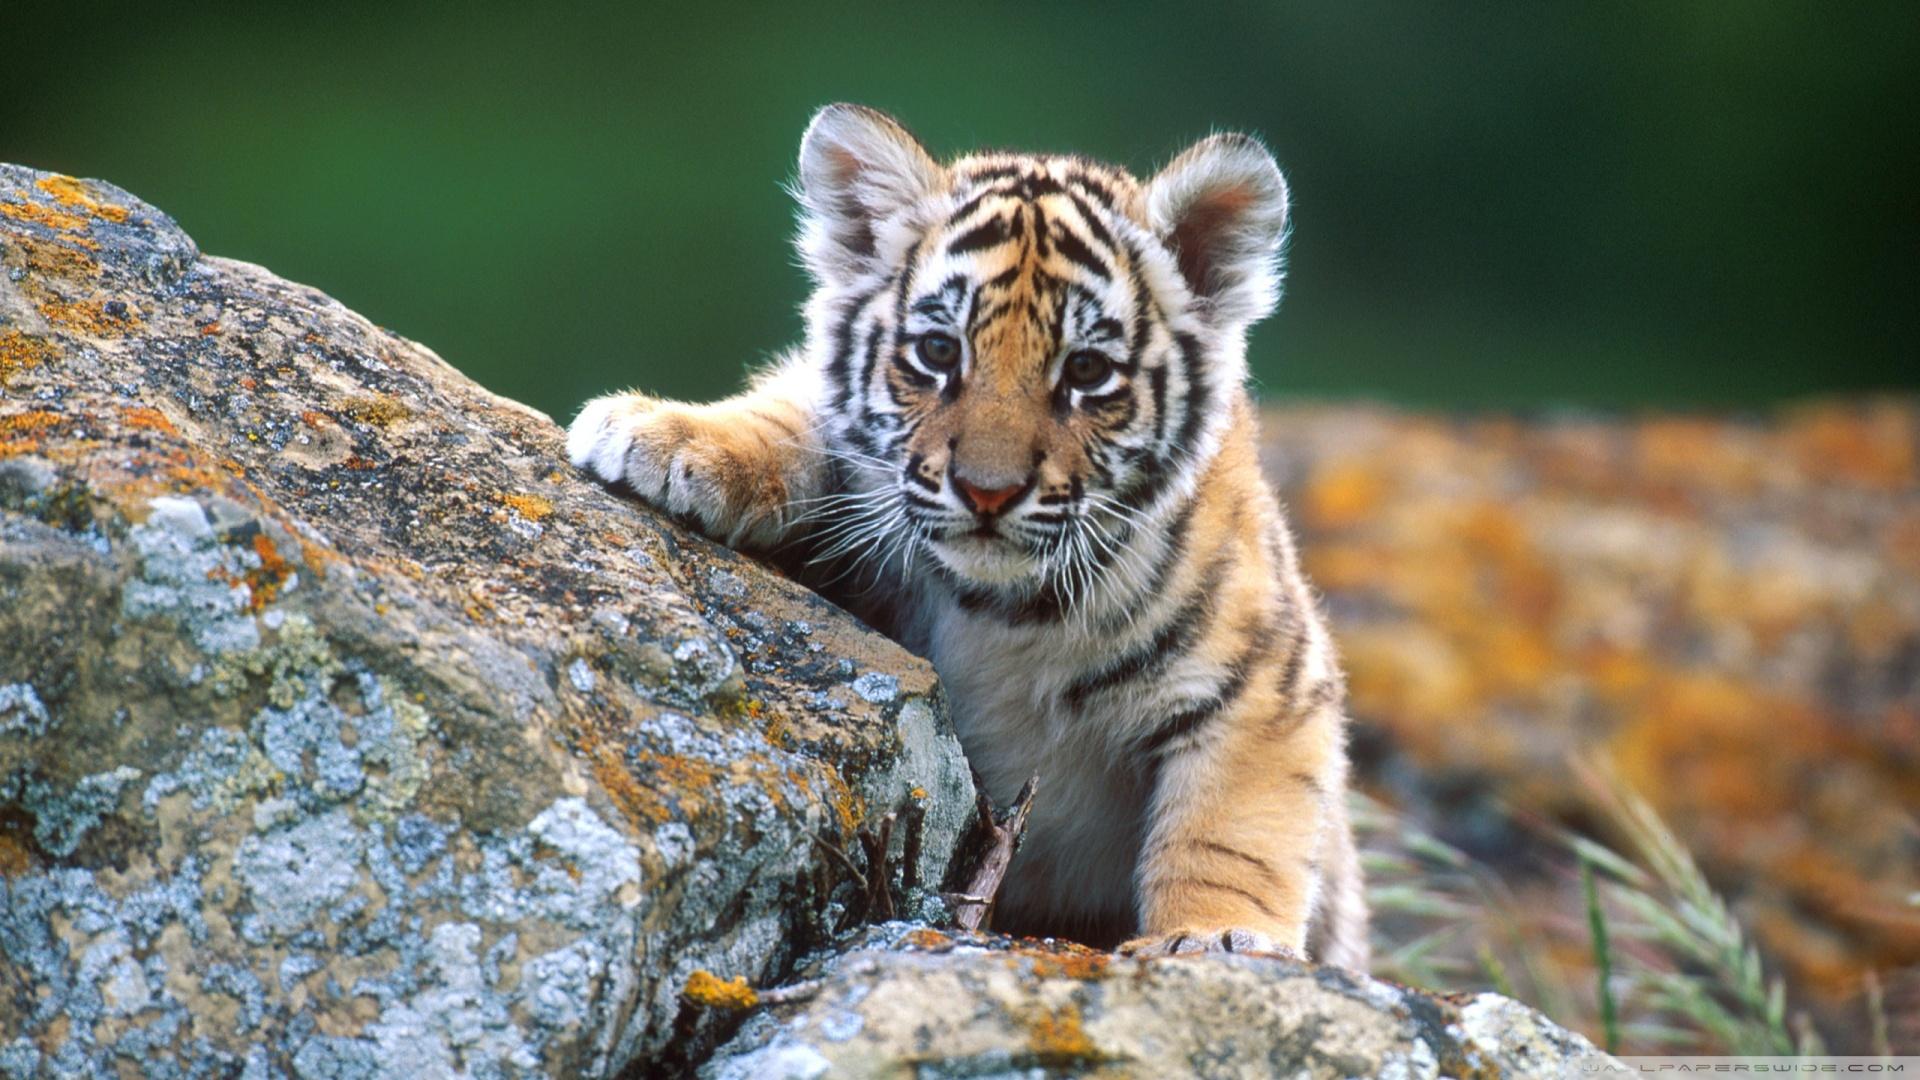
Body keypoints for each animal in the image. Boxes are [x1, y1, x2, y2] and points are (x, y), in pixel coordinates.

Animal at [567, 103, 1367, 967]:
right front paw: (663, 434)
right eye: (938, 351)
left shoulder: (1267, 685)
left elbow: (1229, 833)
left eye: (1087, 372)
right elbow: (795, 413)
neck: (1004, 611)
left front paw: (1215, 938)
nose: (988, 490)